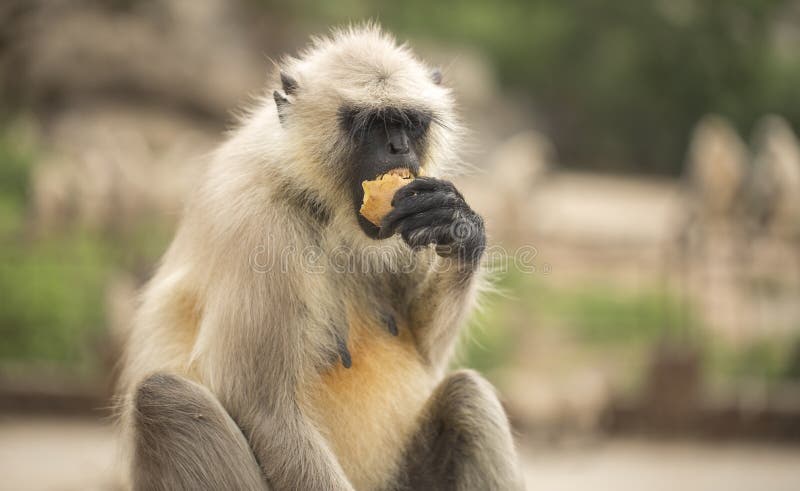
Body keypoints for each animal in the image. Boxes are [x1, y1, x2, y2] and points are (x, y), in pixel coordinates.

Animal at [117, 25, 524, 491]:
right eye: (371, 124)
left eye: (410, 123)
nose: (398, 147)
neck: (314, 198)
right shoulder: (259, 226)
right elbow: (265, 410)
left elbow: (428, 354)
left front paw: (459, 226)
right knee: (167, 398)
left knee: (467, 394)